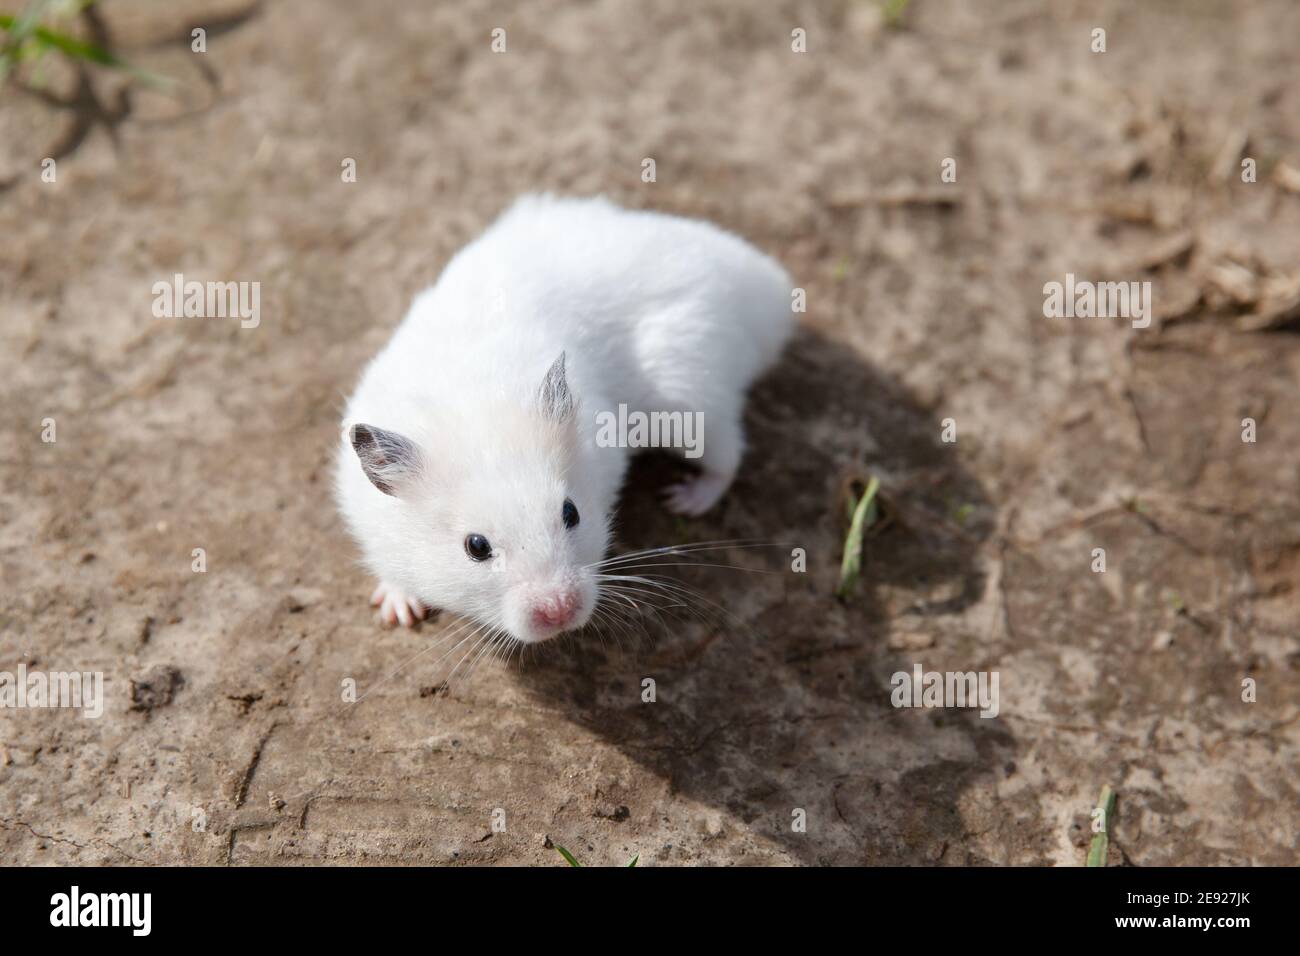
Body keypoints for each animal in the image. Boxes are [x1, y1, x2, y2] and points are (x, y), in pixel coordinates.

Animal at [335, 195, 793, 643]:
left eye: (571, 512)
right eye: (476, 546)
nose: (559, 611)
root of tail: (763, 284)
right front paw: (398, 613)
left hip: (690, 399)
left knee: (728, 456)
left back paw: (685, 498)